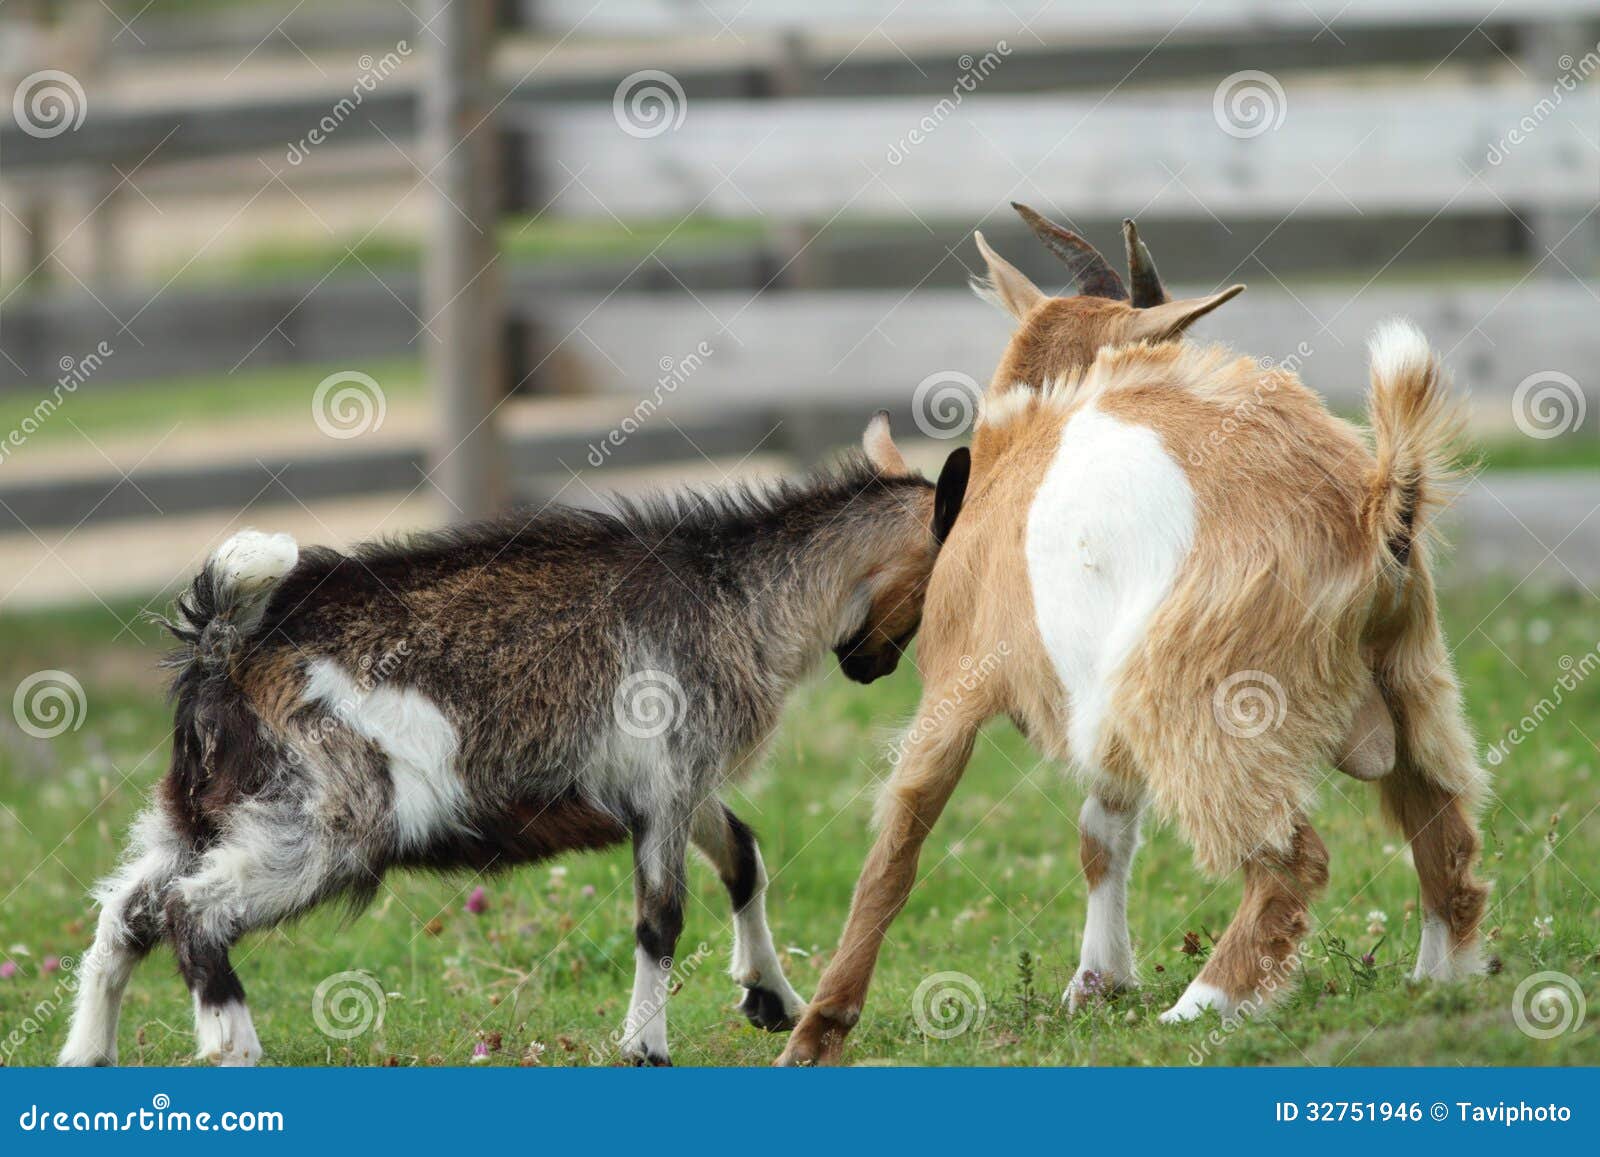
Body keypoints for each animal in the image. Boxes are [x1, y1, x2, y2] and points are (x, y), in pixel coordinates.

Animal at [59, 415, 970, 1067]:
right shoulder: (666, 779)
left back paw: (87, 1055)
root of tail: (223, 644)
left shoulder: (676, 783)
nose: (869, 665)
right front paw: (646, 1045)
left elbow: (744, 852)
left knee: (128, 911)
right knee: (191, 909)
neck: (738, 595)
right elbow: (661, 918)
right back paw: (234, 1046)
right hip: (327, 818)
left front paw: (770, 999)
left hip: (203, 810)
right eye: (946, 568)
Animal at [777, 208, 1486, 1065]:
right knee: (1445, 830)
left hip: (1204, 693)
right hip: (1411, 678)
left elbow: (897, 845)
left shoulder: (958, 681)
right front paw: (1097, 980)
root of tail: (1374, 504)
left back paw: (1201, 1005)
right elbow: (1101, 831)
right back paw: (1437, 978)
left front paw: (816, 1031)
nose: (857, 657)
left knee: (1293, 858)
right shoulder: (1100, 700)